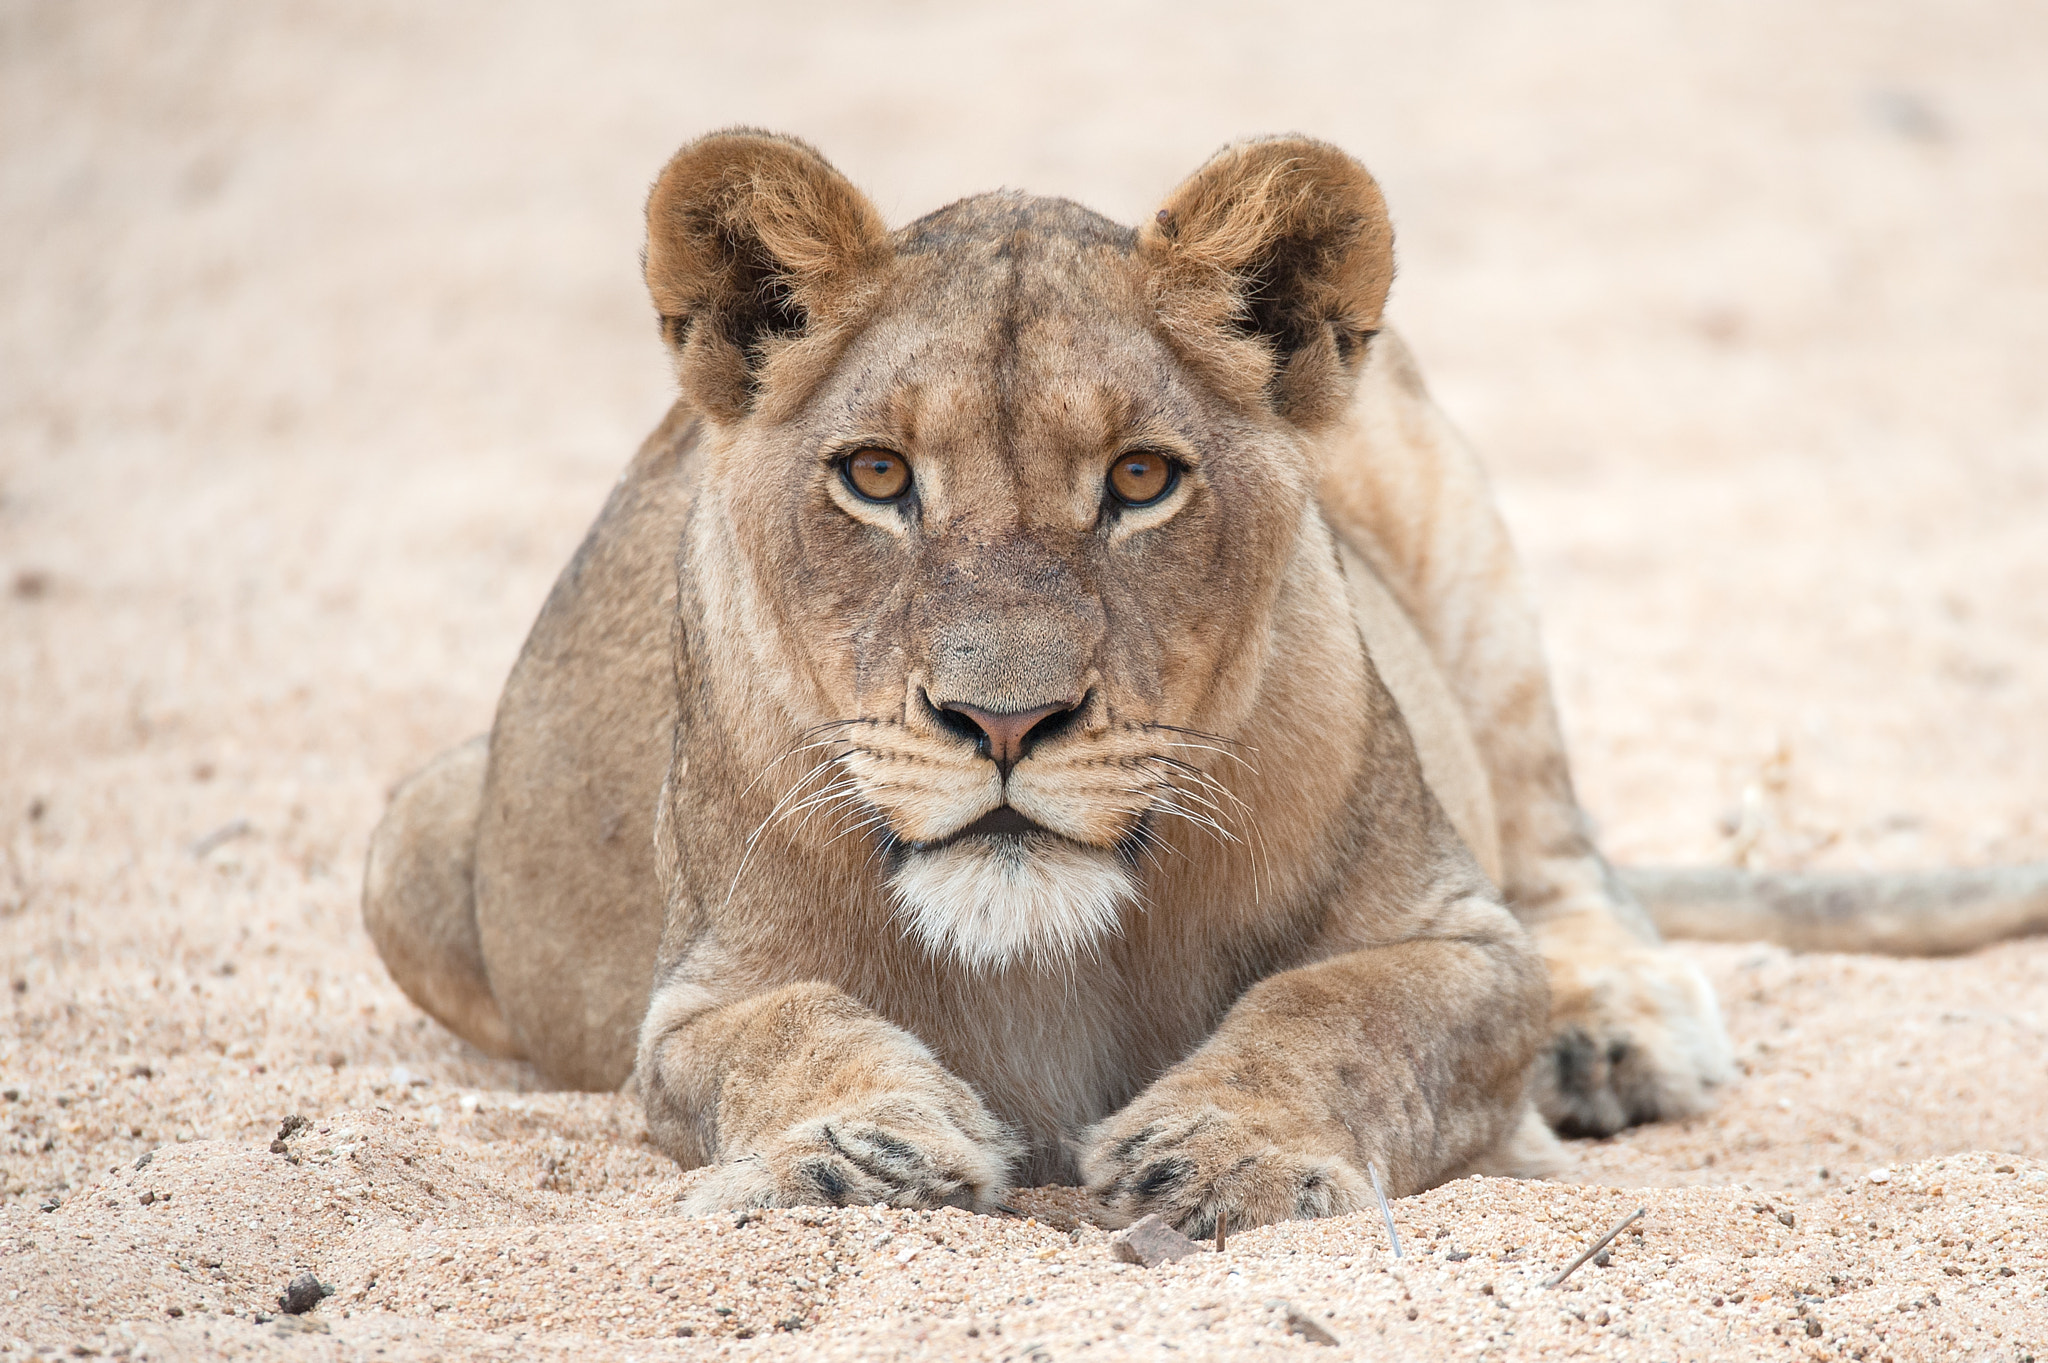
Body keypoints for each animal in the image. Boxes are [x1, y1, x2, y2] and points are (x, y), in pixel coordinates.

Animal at [362, 130, 1738, 1228]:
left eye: (1139, 479)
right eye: (875, 476)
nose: (1003, 719)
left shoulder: (1460, 942)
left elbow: (1343, 1011)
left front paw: (1224, 1151)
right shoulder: (696, 996)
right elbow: (775, 1034)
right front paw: (847, 1153)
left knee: (1561, 850)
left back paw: (1610, 1037)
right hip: (409, 850)